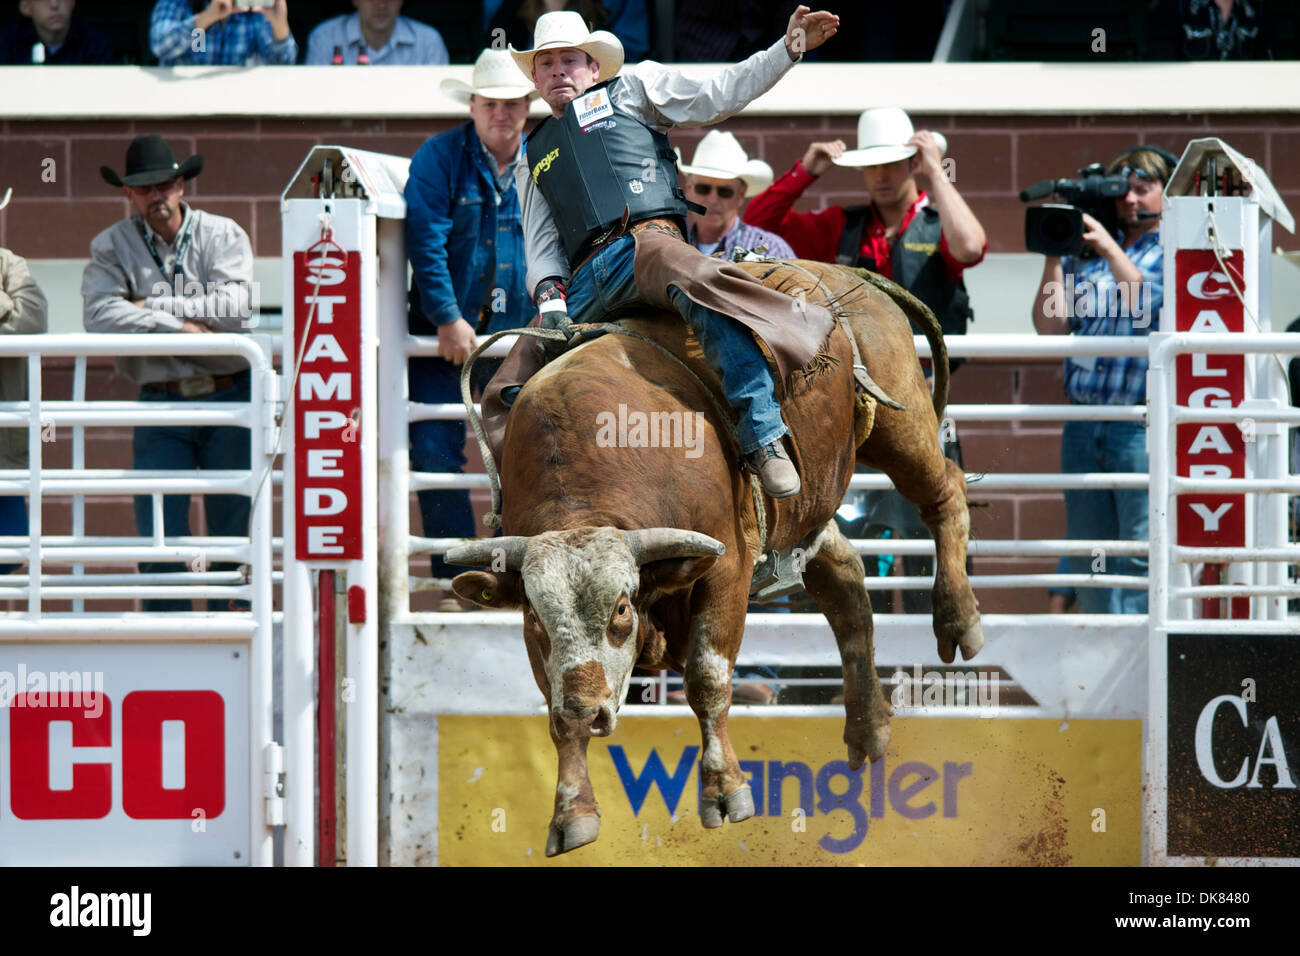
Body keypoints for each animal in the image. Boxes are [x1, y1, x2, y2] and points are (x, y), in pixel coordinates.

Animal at [446, 259, 982, 856]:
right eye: (537, 616)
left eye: (621, 609)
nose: (588, 710)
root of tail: (843, 272)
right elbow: (552, 707)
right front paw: (571, 813)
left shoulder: (726, 568)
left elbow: (707, 679)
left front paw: (725, 791)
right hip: (809, 511)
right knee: (845, 580)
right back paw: (869, 727)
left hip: (902, 425)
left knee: (946, 492)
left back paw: (958, 618)